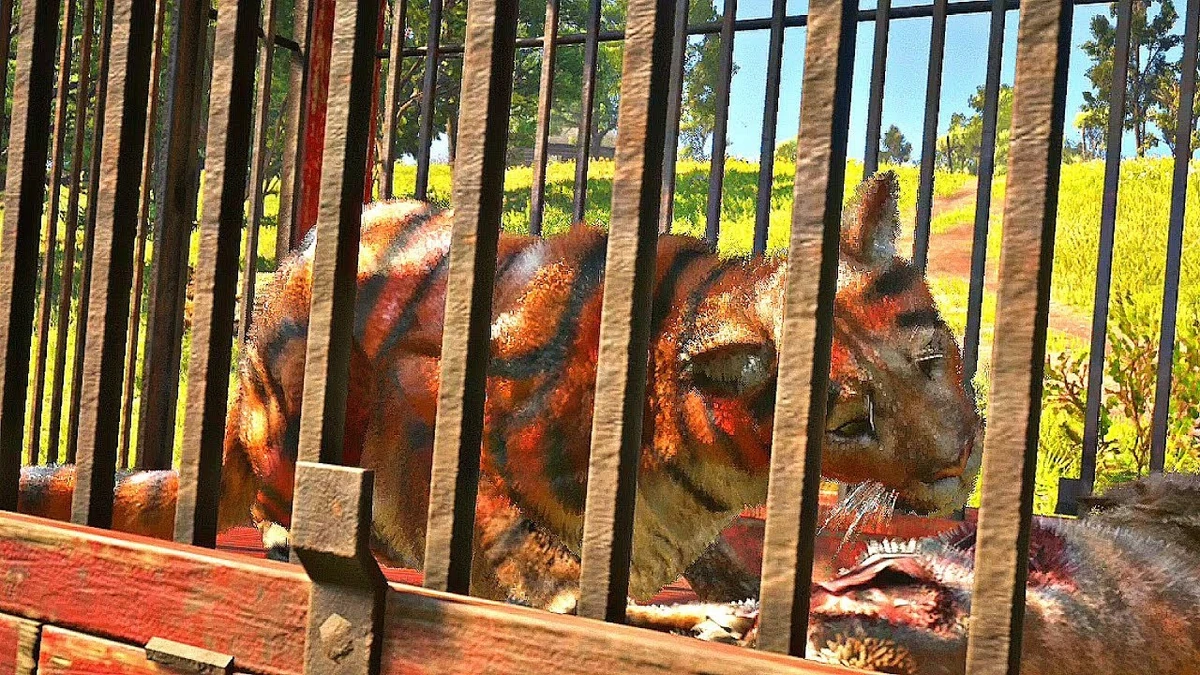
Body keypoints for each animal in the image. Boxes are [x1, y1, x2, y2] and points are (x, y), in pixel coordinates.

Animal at [17, 170, 983, 614]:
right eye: (850, 420)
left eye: (932, 361)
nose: (954, 457)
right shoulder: (427, 390)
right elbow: (504, 527)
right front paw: (581, 597)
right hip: (285, 409)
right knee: (277, 488)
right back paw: (297, 540)